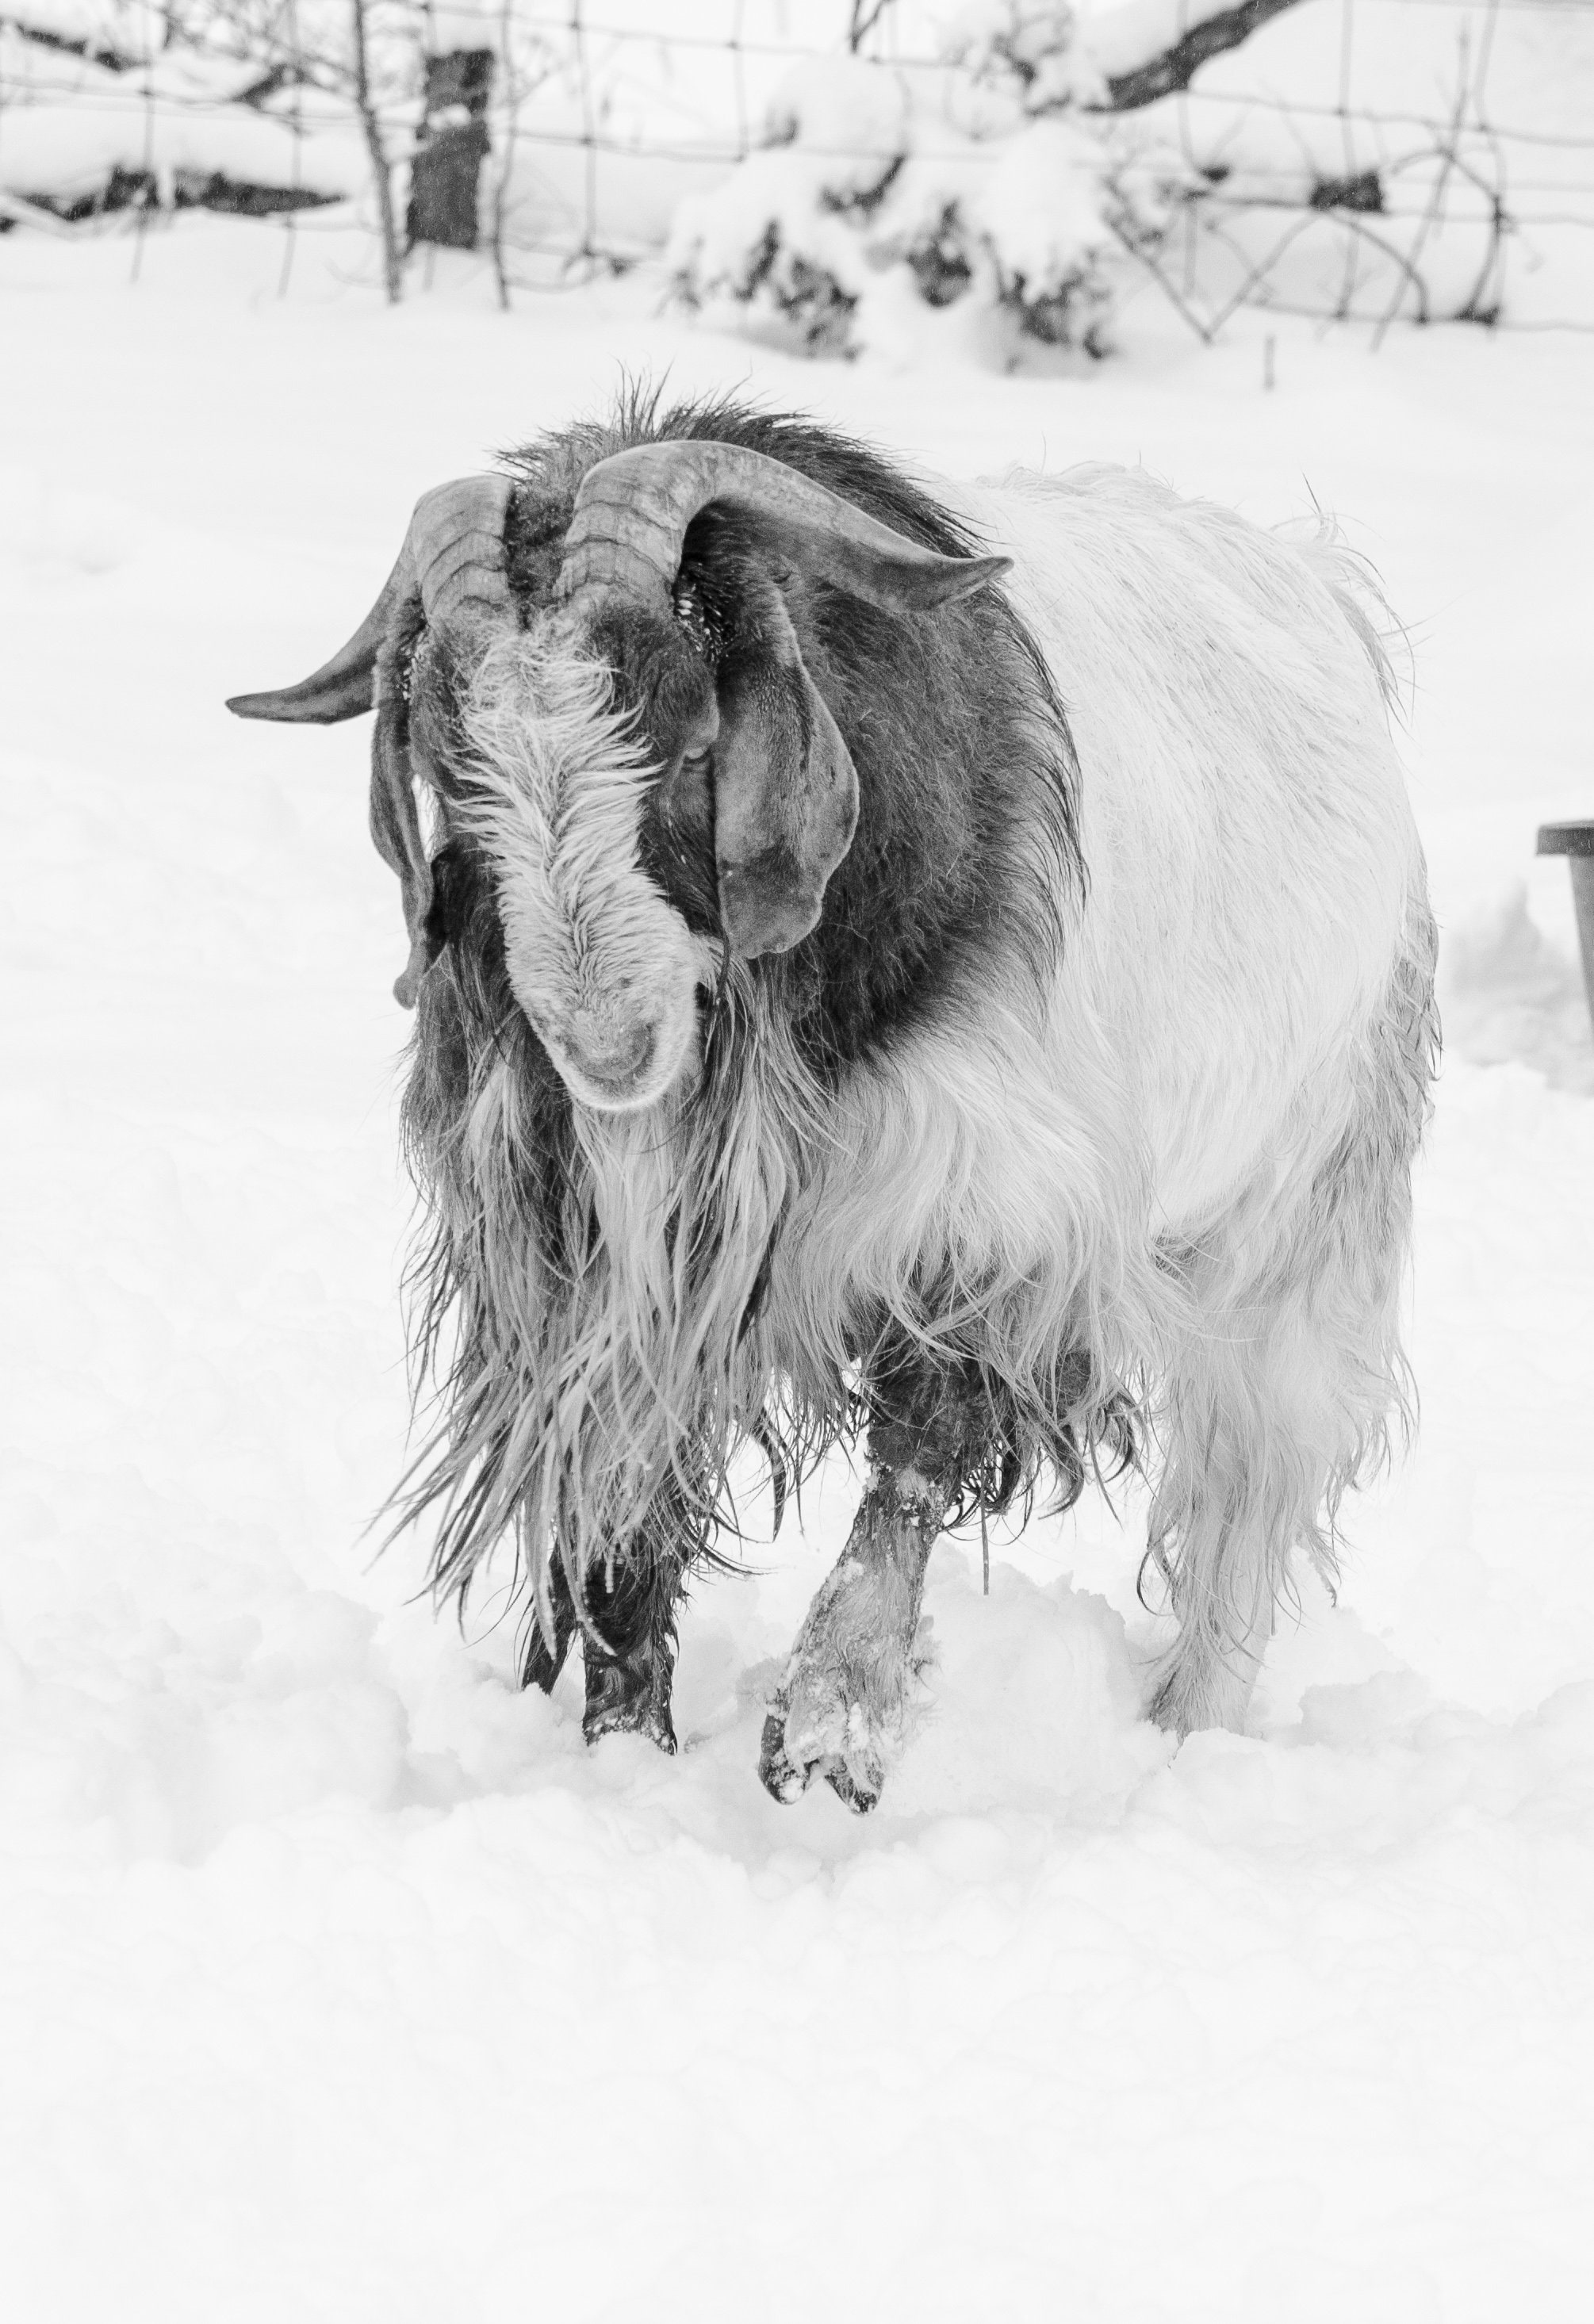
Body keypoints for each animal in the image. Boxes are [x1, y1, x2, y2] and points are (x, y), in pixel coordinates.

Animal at [229, 392, 1437, 1810]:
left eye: (687, 738)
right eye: (451, 768)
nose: (609, 1048)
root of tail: (1322, 583)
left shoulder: (986, 1203)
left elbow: (922, 1442)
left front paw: (827, 1721)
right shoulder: (584, 1255)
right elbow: (619, 1501)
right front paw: (622, 1754)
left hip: (1298, 1210)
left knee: (1251, 1484)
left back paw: (1187, 1734)